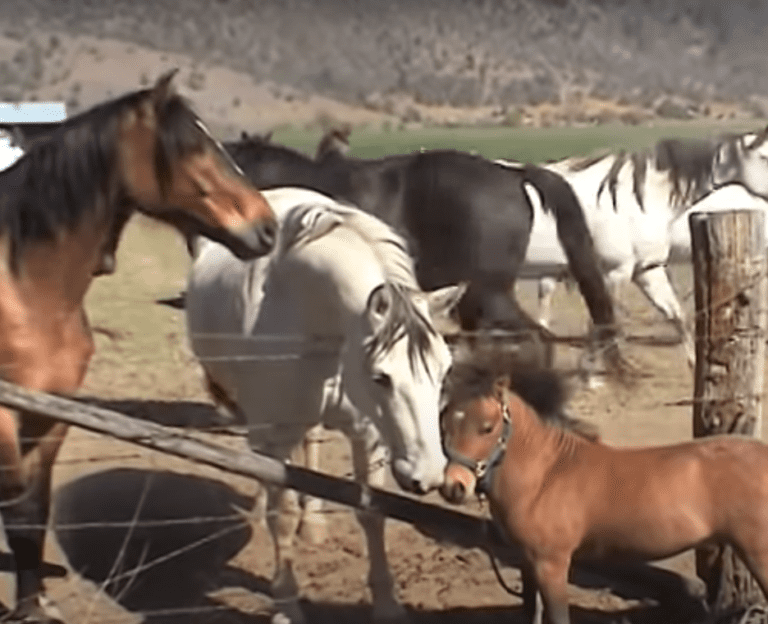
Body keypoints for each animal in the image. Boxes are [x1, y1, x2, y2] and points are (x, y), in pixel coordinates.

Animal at [0, 70, 277, 623]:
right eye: (191, 146)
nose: (267, 227)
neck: (26, 292)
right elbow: (15, 509)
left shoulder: (53, 413)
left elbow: (32, 514)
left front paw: (35, 606)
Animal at [185, 187, 464, 624]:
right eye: (381, 377)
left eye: (445, 369)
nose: (430, 474)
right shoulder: (275, 435)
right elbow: (280, 518)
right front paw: (286, 607)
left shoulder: (368, 436)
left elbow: (371, 512)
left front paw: (387, 604)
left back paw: (313, 519)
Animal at [440, 349, 768, 624]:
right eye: (444, 423)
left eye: (487, 427)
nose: (453, 488)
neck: (546, 477)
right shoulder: (528, 561)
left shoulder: (552, 563)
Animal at [514, 128, 768, 367]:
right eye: (764, 156)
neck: (634, 202)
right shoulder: (615, 272)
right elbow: (605, 322)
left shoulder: (646, 270)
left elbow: (676, 316)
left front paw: (695, 363)